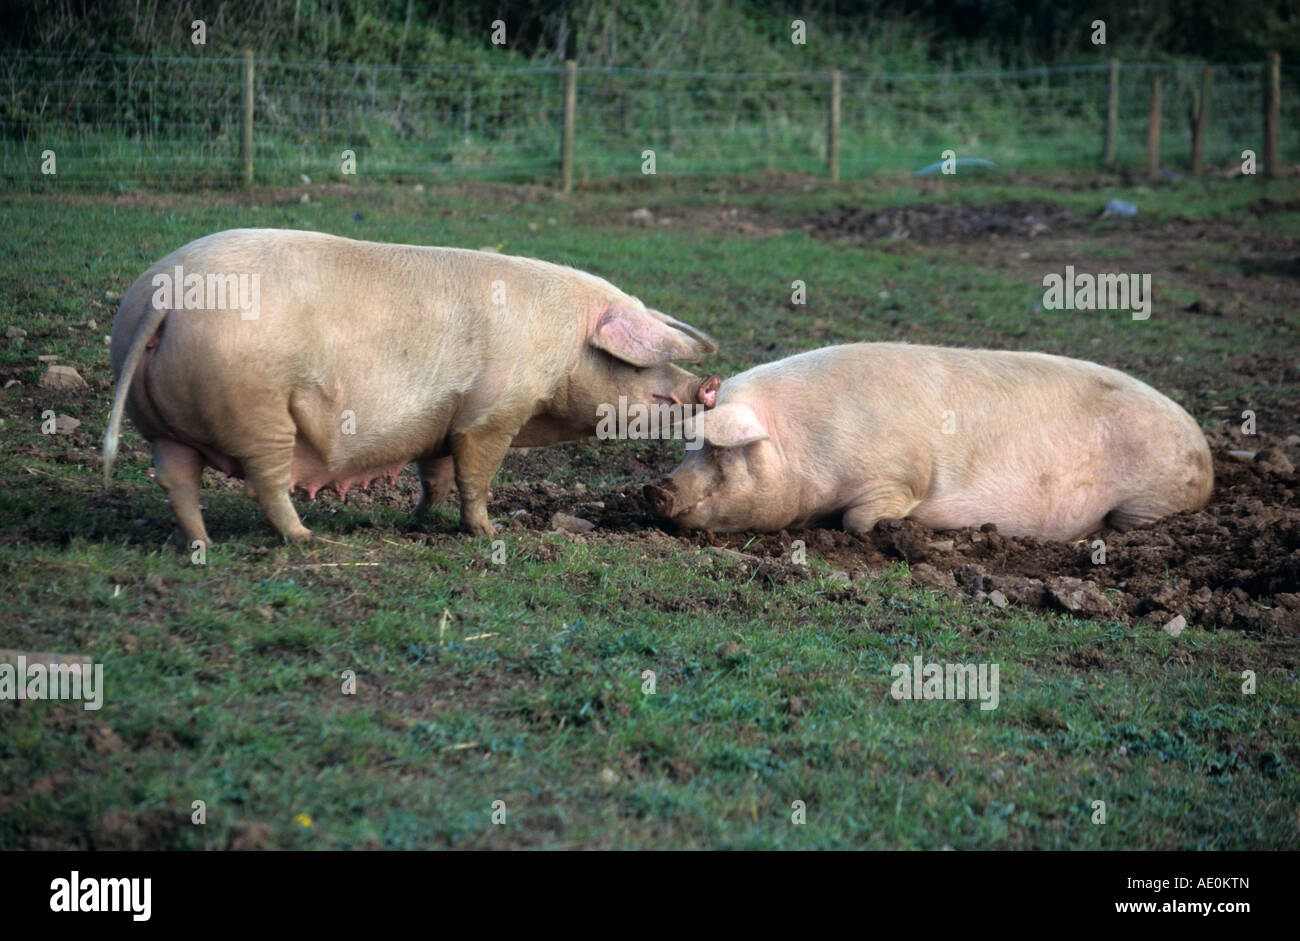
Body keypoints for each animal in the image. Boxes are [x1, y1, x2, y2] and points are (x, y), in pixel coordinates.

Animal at [103, 228, 720, 543]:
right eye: (640, 363)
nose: (708, 384)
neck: (562, 349)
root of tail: (163, 297)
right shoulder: (492, 411)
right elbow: (475, 474)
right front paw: (488, 532)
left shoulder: (443, 419)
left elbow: (437, 475)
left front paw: (417, 520)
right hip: (259, 413)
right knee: (265, 483)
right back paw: (304, 539)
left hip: (164, 427)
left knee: (175, 480)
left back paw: (201, 545)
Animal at [645, 343, 1213, 541]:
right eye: (690, 447)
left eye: (720, 449)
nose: (656, 489)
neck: (801, 445)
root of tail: (1203, 443)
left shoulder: (898, 474)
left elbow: (860, 520)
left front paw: (902, 528)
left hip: (1152, 497)